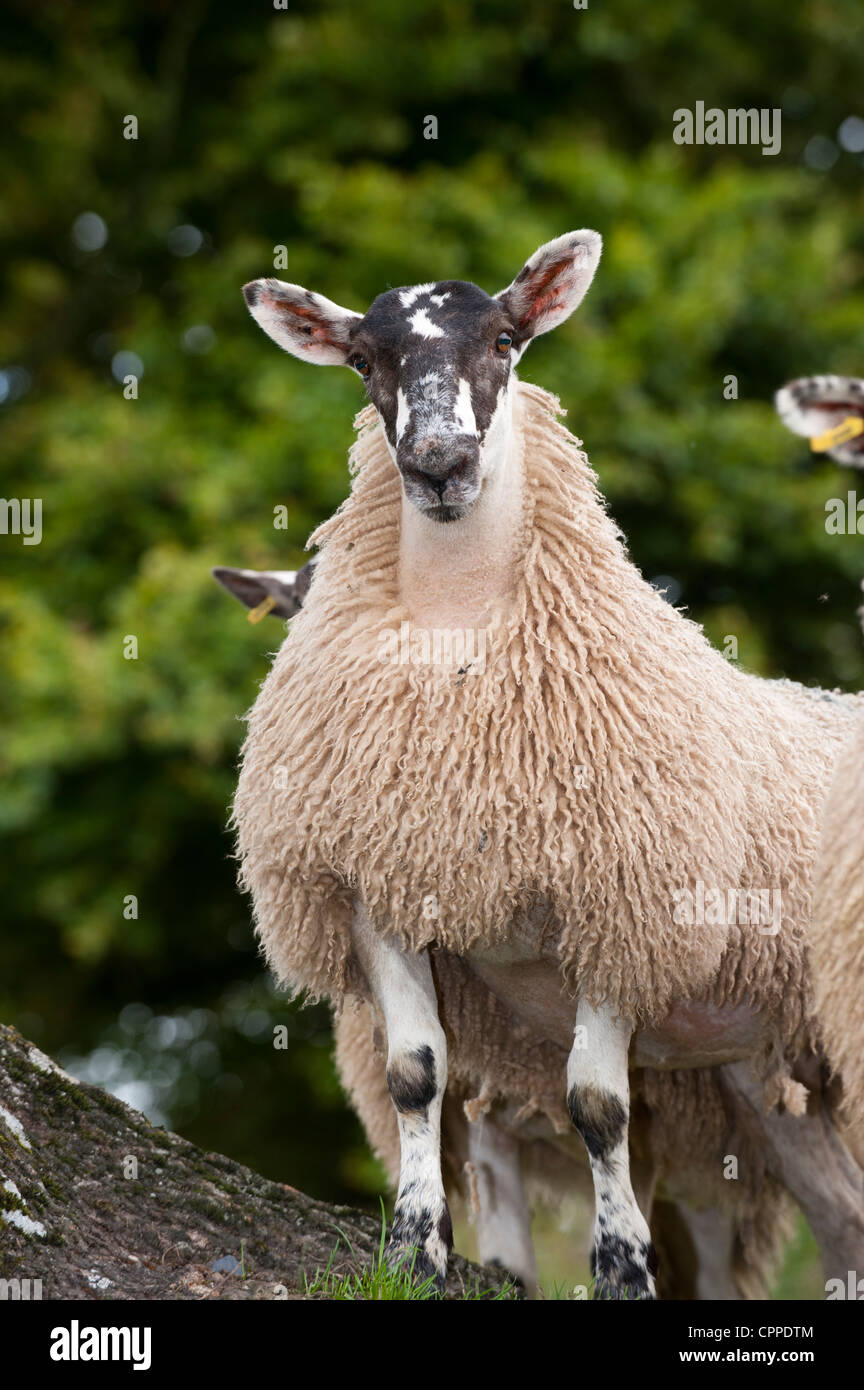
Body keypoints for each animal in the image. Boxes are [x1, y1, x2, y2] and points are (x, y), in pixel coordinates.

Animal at [232, 233, 864, 1297]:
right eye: (363, 360)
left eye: (504, 338)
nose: (440, 465)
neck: (460, 642)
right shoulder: (376, 885)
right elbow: (417, 1076)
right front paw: (415, 1250)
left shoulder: (614, 902)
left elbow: (598, 1107)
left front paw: (621, 1270)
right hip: (755, 1074)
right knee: (845, 1219)